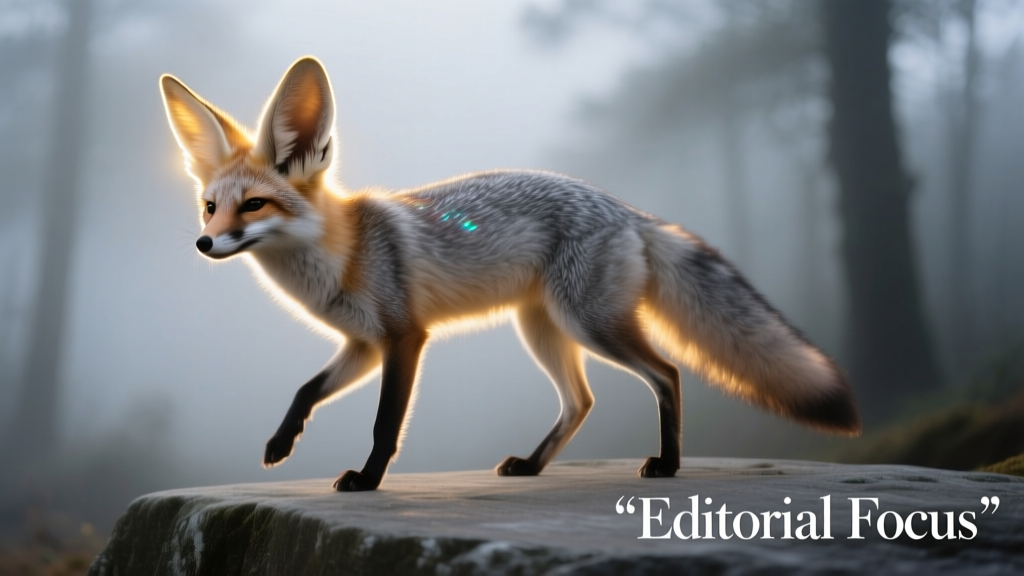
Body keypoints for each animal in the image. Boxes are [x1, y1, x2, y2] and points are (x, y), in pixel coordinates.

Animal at [159, 56, 859, 492]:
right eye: (210, 205)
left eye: (254, 206)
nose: (203, 242)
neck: (338, 257)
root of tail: (628, 208)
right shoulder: (363, 344)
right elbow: (305, 390)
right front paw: (281, 444)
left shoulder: (404, 338)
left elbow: (385, 425)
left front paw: (368, 479)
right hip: (543, 330)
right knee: (582, 401)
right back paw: (533, 465)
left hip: (590, 325)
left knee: (668, 374)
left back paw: (667, 463)